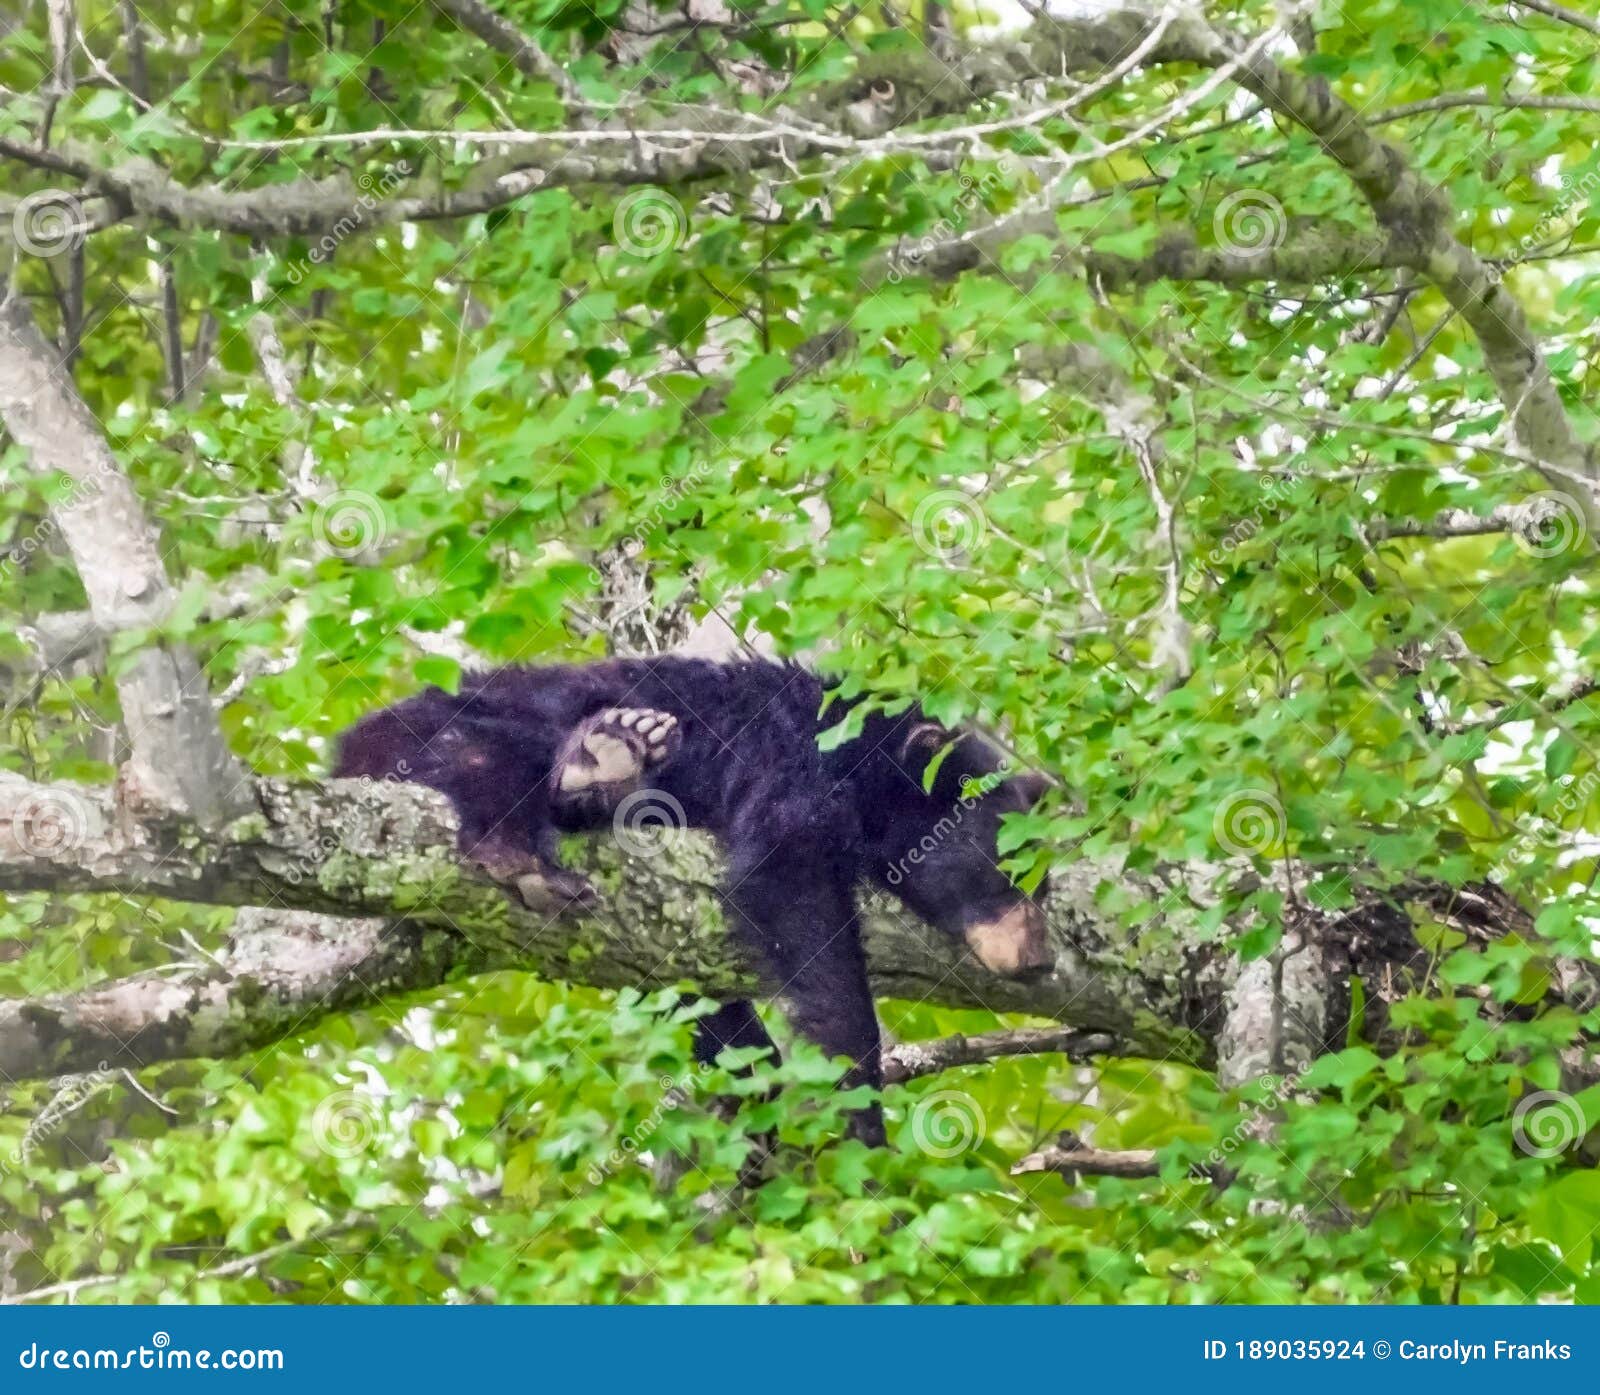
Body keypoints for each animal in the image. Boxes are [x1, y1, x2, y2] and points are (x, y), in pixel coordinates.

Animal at [334, 656, 1052, 1146]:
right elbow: (790, 887)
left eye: (1043, 884)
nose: (1038, 958)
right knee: (491, 755)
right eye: (1006, 867)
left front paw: (753, 1076)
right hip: (441, 731)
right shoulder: (783, 764)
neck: (862, 759)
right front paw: (860, 1110)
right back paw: (559, 804)